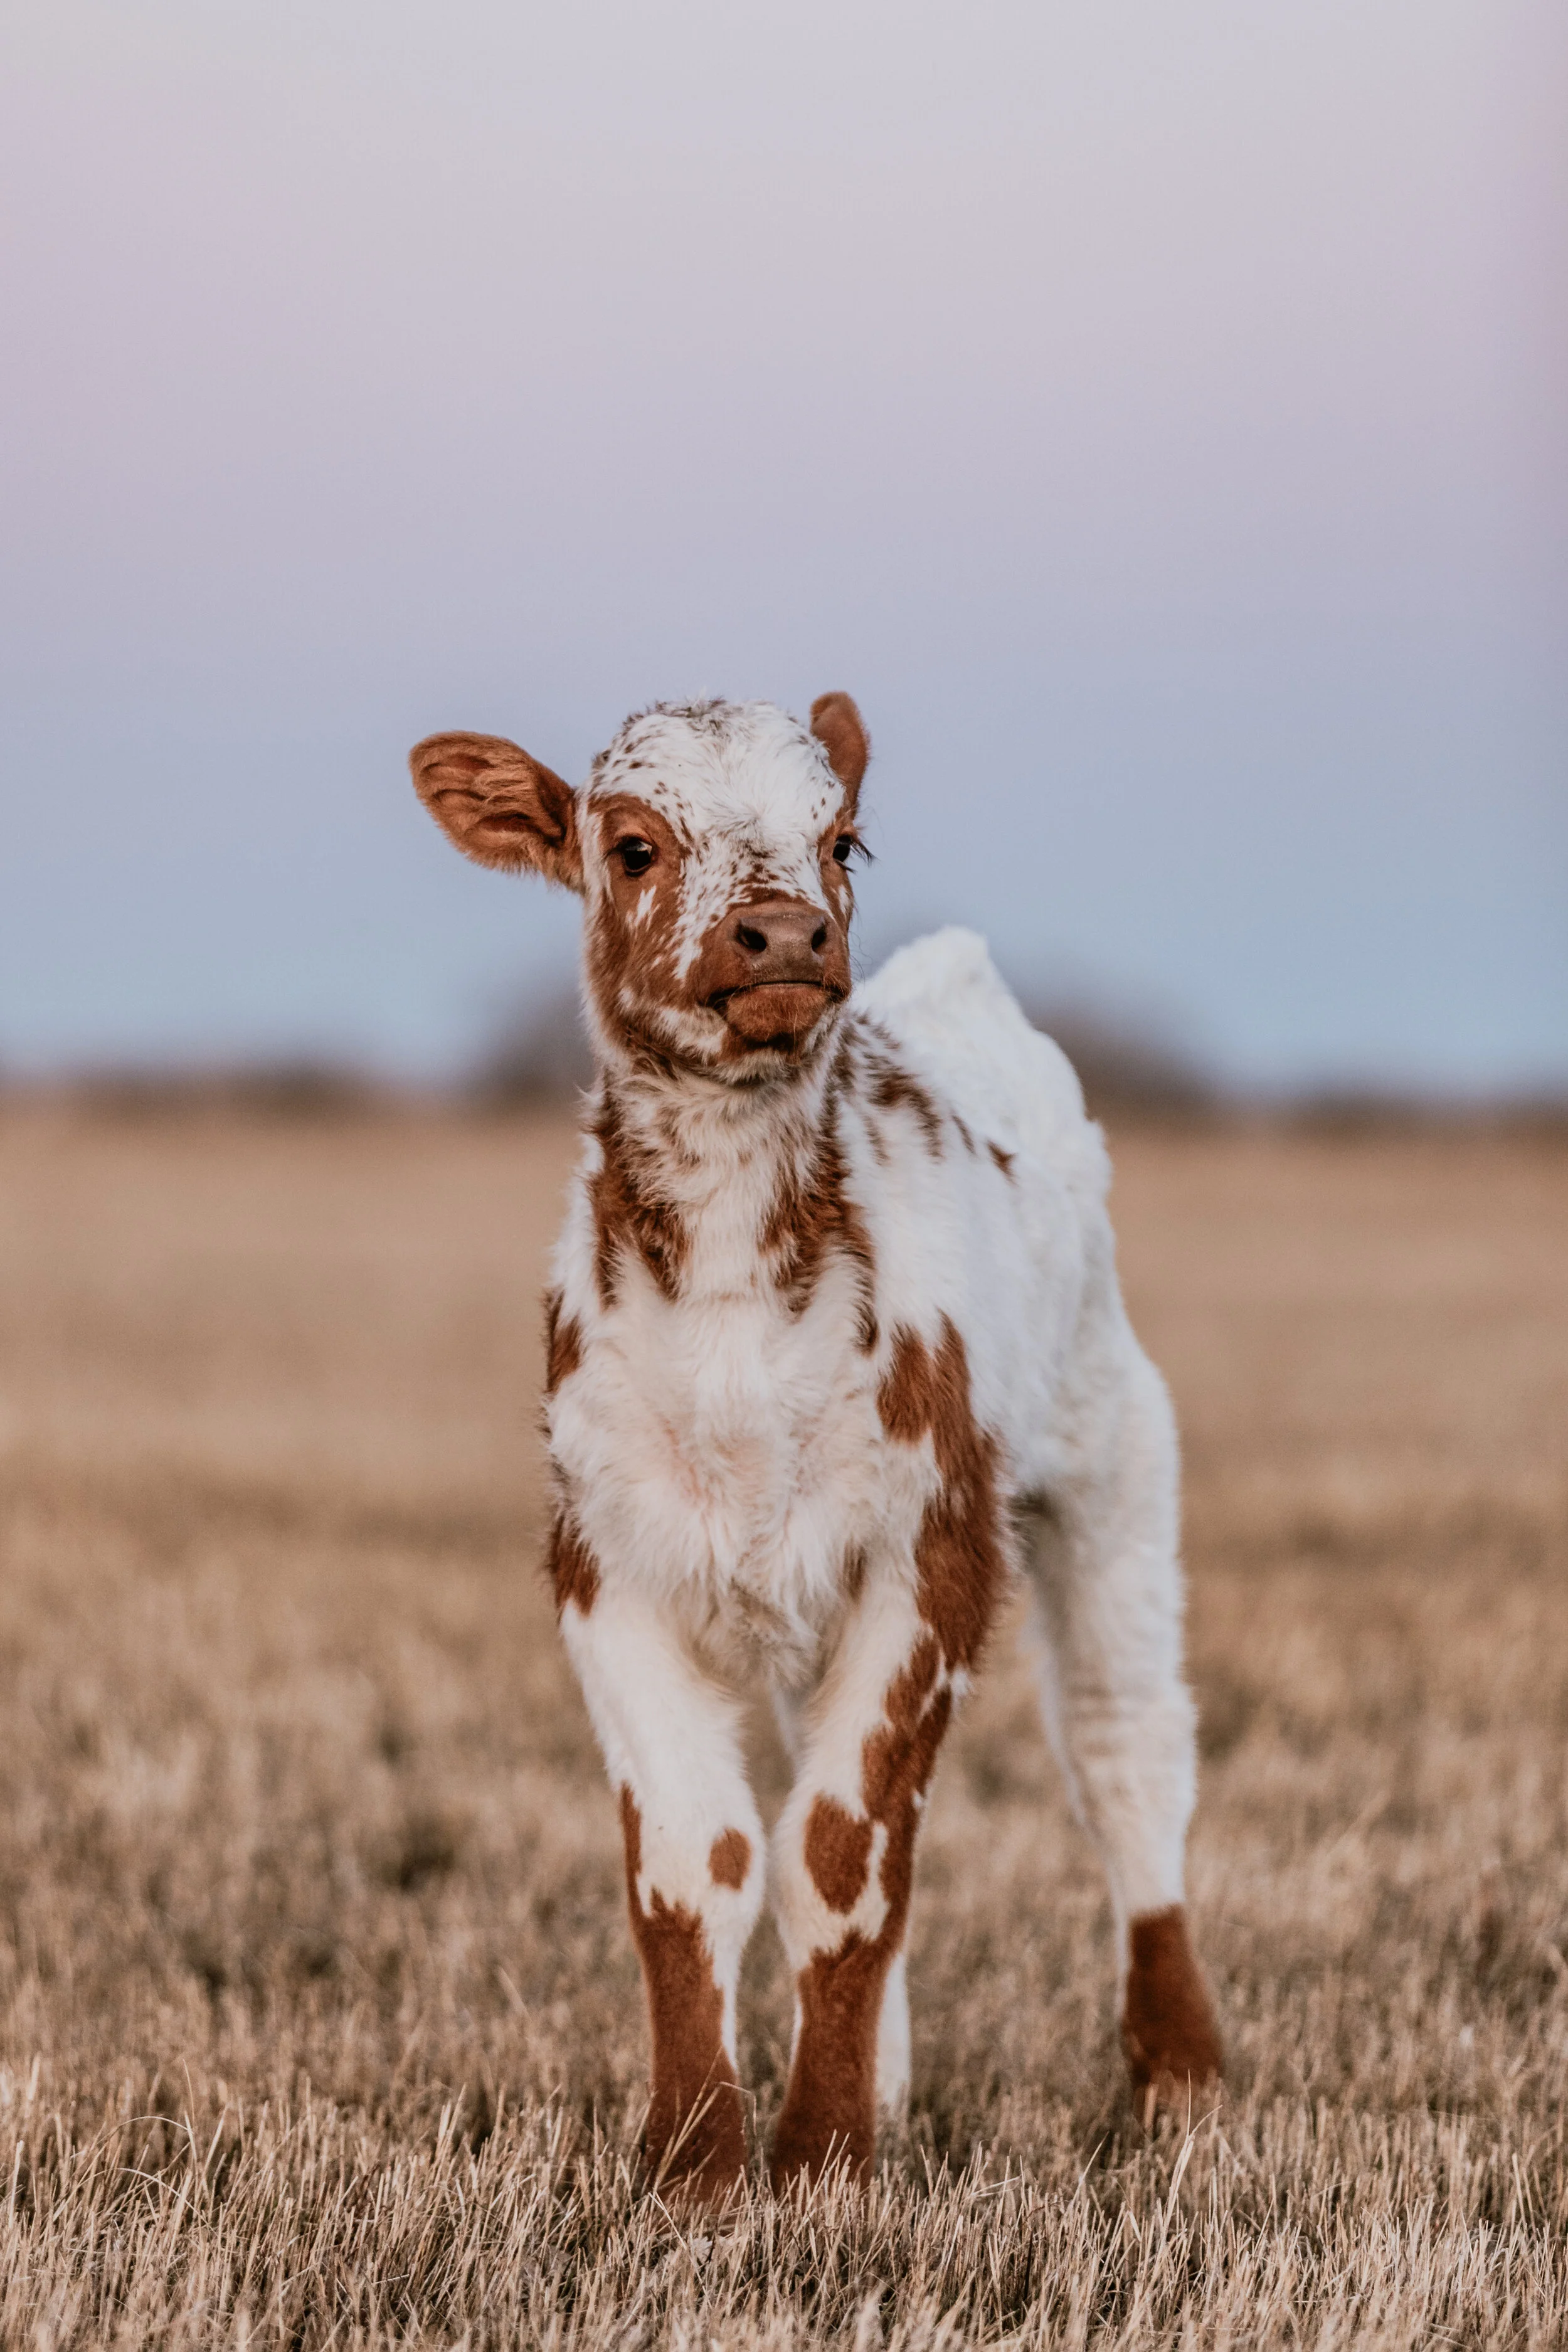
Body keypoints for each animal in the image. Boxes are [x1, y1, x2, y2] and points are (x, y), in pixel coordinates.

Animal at [411, 692, 1222, 2205]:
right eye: (631, 845)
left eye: (841, 837)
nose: (785, 932)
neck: (738, 1253)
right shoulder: (608, 1561)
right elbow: (700, 1863)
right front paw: (694, 2158)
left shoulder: (930, 1549)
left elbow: (842, 1857)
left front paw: (827, 2153)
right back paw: (896, 2073)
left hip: (1113, 1451)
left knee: (1123, 1744)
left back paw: (1179, 2070)